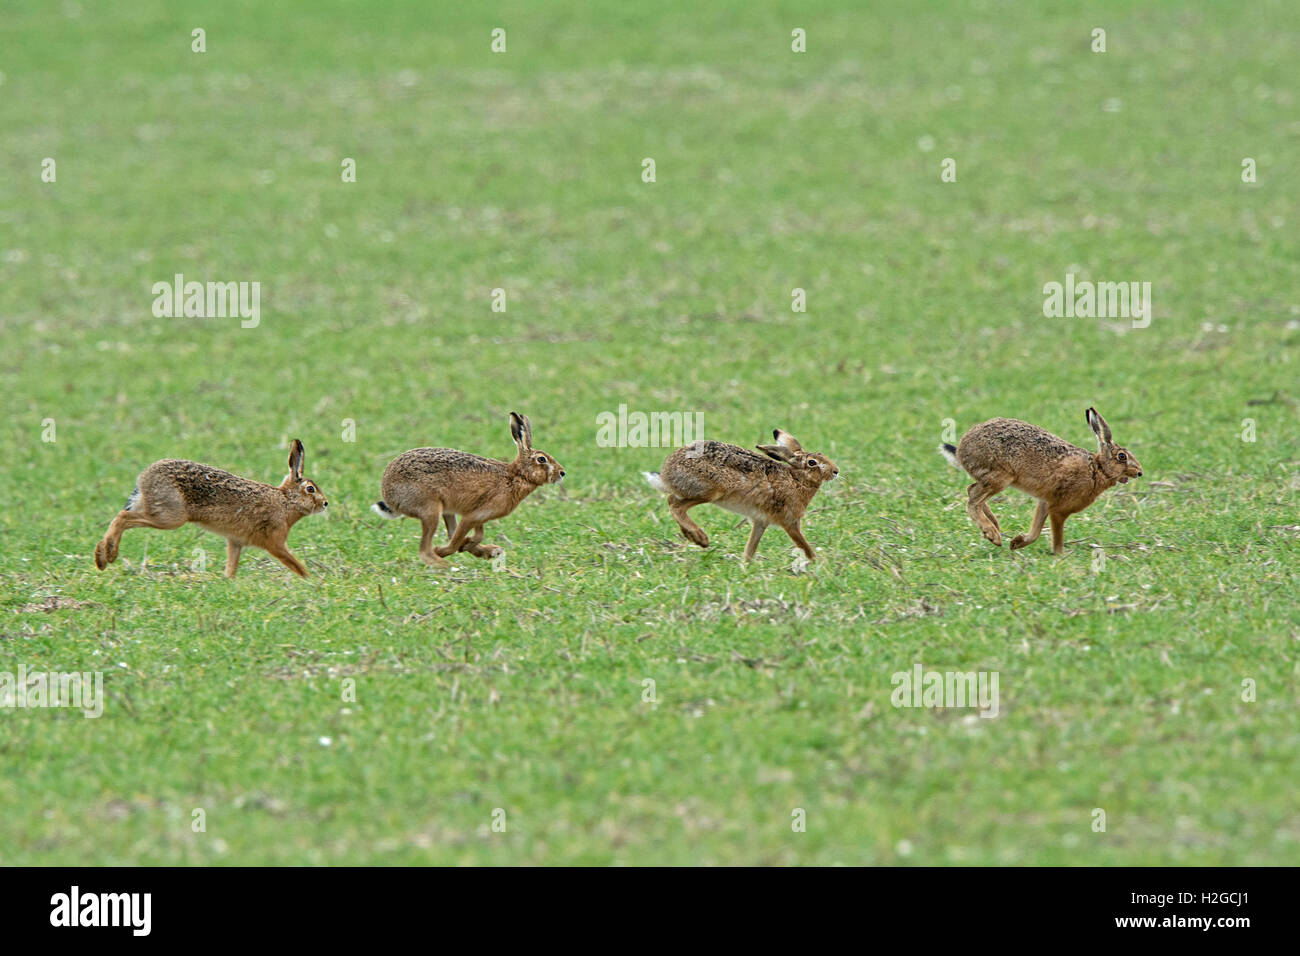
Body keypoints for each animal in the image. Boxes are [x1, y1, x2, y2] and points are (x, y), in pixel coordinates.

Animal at [94, 439, 328, 577]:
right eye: (310, 489)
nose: (325, 503)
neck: (286, 501)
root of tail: (143, 479)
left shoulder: (235, 542)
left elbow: (231, 566)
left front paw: (228, 581)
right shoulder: (275, 542)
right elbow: (294, 563)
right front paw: (311, 579)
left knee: (123, 516)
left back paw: (101, 557)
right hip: (170, 516)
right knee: (123, 517)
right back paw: (109, 556)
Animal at [373, 412, 564, 567]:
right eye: (541, 459)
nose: (562, 473)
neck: (517, 475)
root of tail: (388, 493)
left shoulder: (480, 516)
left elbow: (477, 534)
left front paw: (471, 545)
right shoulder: (473, 515)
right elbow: (462, 538)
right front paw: (449, 549)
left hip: (445, 511)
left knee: (450, 532)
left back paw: (486, 551)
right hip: (430, 509)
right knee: (425, 550)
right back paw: (445, 564)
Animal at [644, 429, 839, 561]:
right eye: (812, 462)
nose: (836, 471)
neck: (797, 479)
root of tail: (667, 472)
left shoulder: (760, 521)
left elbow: (751, 547)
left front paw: (745, 564)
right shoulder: (789, 521)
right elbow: (803, 545)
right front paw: (817, 561)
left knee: (672, 500)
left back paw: (691, 536)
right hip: (713, 490)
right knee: (675, 505)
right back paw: (701, 538)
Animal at [940, 407, 1142, 554]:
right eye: (1122, 456)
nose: (1140, 472)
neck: (1098, 469)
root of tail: (961, 450)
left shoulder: (1046, 503)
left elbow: (1036, 531)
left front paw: (1016, 543)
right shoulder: (1059, 509)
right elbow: (1056, 534)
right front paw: (1060, 555)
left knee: (971, 490)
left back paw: (994, 527)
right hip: (1001, 477)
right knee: (973, 499)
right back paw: (993, 534)